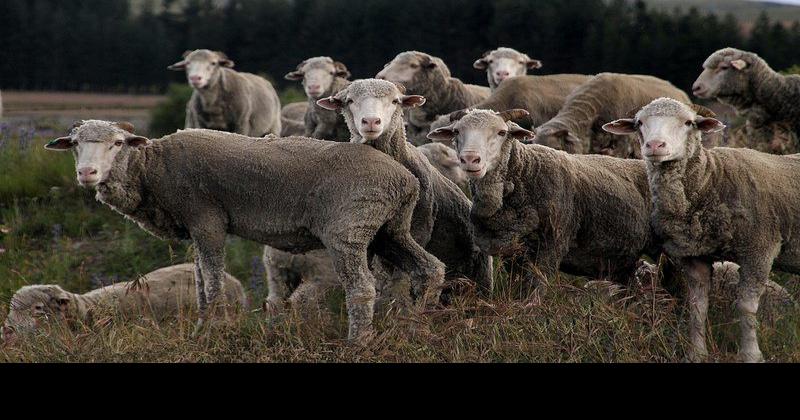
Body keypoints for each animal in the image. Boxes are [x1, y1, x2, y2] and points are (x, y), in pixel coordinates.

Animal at [43, 120, 446, 341]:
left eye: (116, 144)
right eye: (75, 145)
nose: (87, 174)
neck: (153, 169)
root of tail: (406, 178)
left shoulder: (206, 218)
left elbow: (214, 283)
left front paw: (209, 332)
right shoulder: (195, 227)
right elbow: (200, 282)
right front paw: (203, 325)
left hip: (349, 229)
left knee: (362, 288)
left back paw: (357, 343)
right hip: (391, 231)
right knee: (430, 269)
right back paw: (418, 327)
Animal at [602, 97, 800, 362]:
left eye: (688, 122)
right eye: (640, 123)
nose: (655, 145)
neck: (712, 178)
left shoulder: (759, 248)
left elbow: (746, 307)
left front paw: (750, 354)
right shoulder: (694, 256)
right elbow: (697, 307)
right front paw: (696, 354)